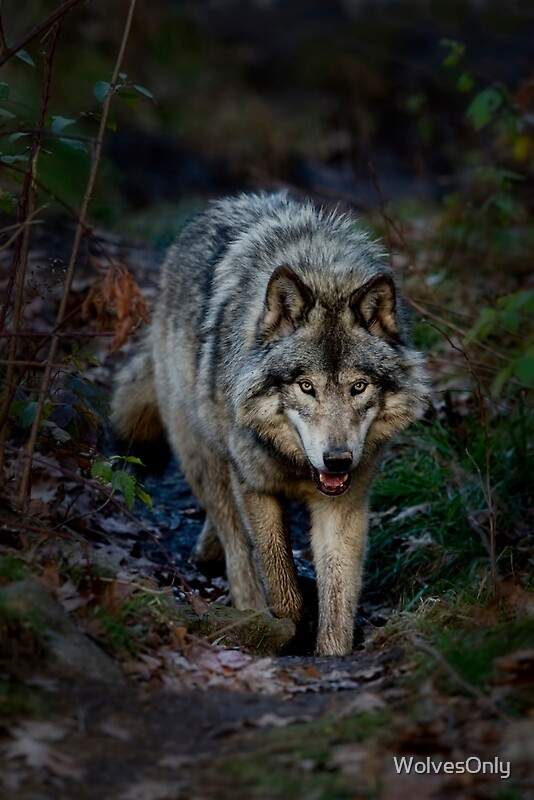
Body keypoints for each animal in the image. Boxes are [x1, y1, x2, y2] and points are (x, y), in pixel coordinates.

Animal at [111, 191, 430, 656]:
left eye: (358, 387)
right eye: (306, 386)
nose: (338, 461)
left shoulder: (344, 505)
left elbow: (339, 594)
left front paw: (332, 654)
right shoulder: (256, 488)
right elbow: (278, 576)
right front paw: (289, 625)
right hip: (203, 459)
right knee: (236, 545)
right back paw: (248, 612)